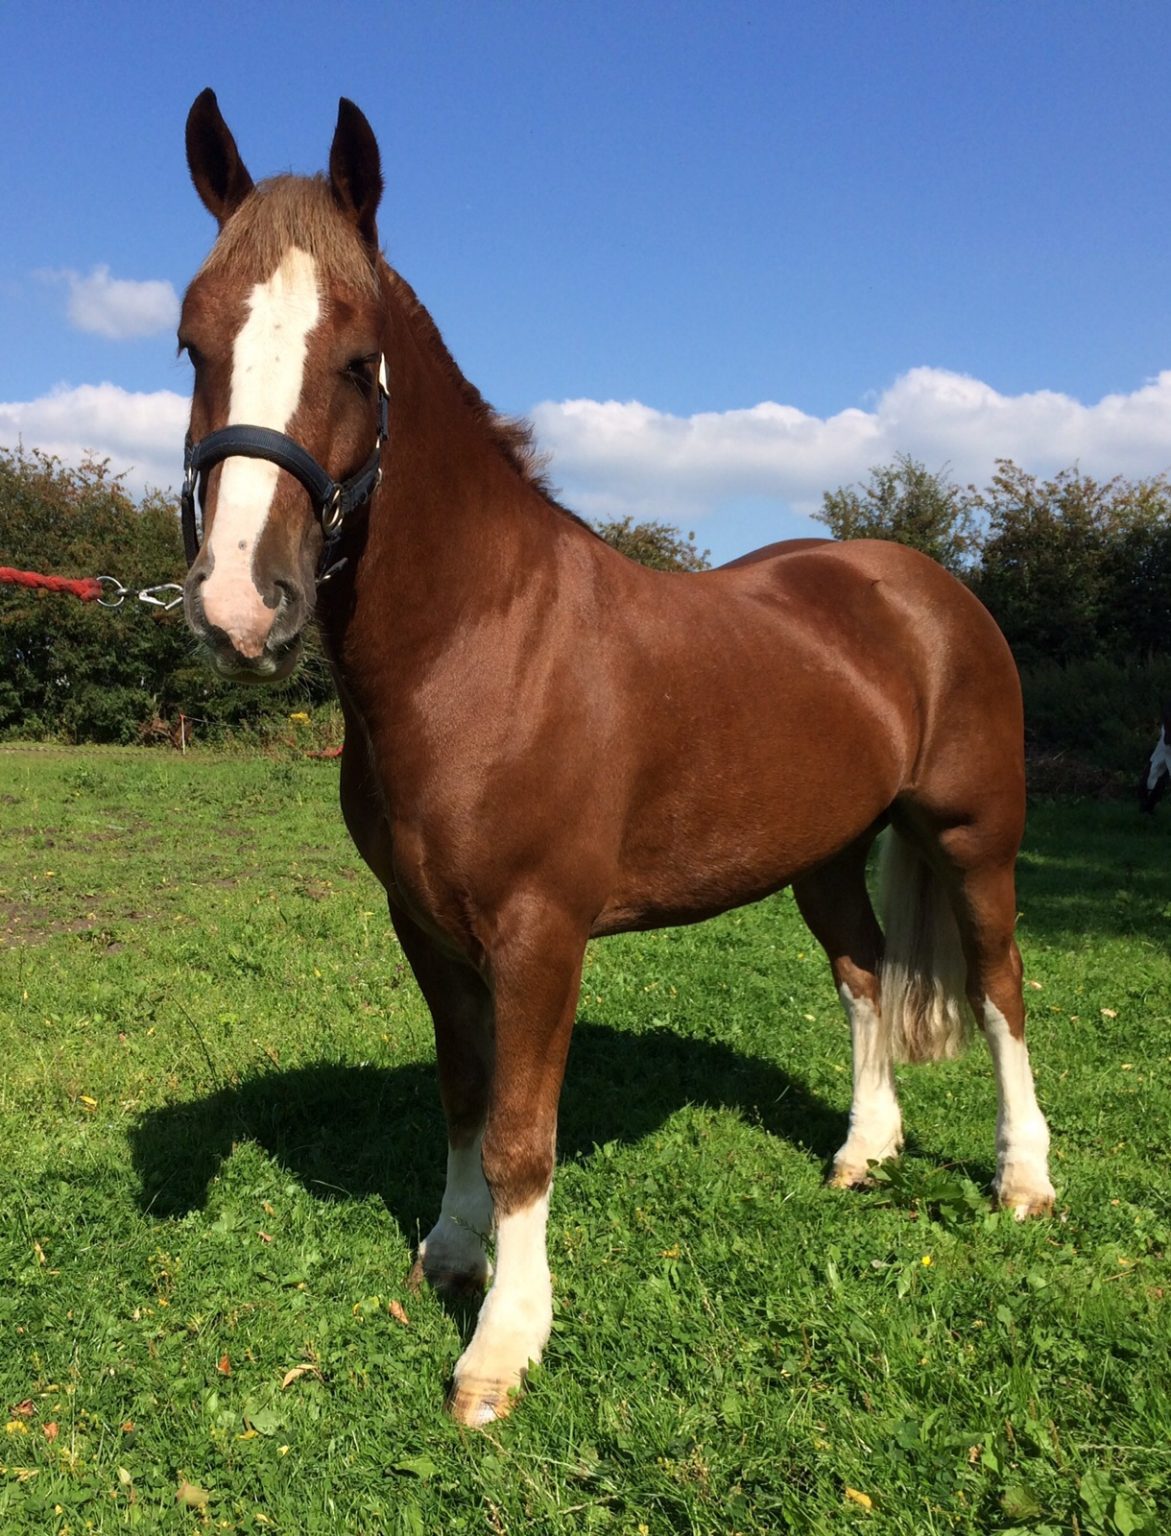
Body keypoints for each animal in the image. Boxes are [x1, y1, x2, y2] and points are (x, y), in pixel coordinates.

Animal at [178, 89, 1055, 1426]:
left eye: (357, 357)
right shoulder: (424, 929)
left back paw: (1021, 1180)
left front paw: (502, 1342)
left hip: (973, 836)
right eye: (191, 344)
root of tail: (923, 589)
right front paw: (452, 1254)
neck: (482, 648)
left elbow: (520, 1130)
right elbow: (462, 1091)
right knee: (861, 974)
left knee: (1000, 988)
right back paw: (862, 1152)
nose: (239, 606)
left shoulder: (541, 934)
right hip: (822, 854)